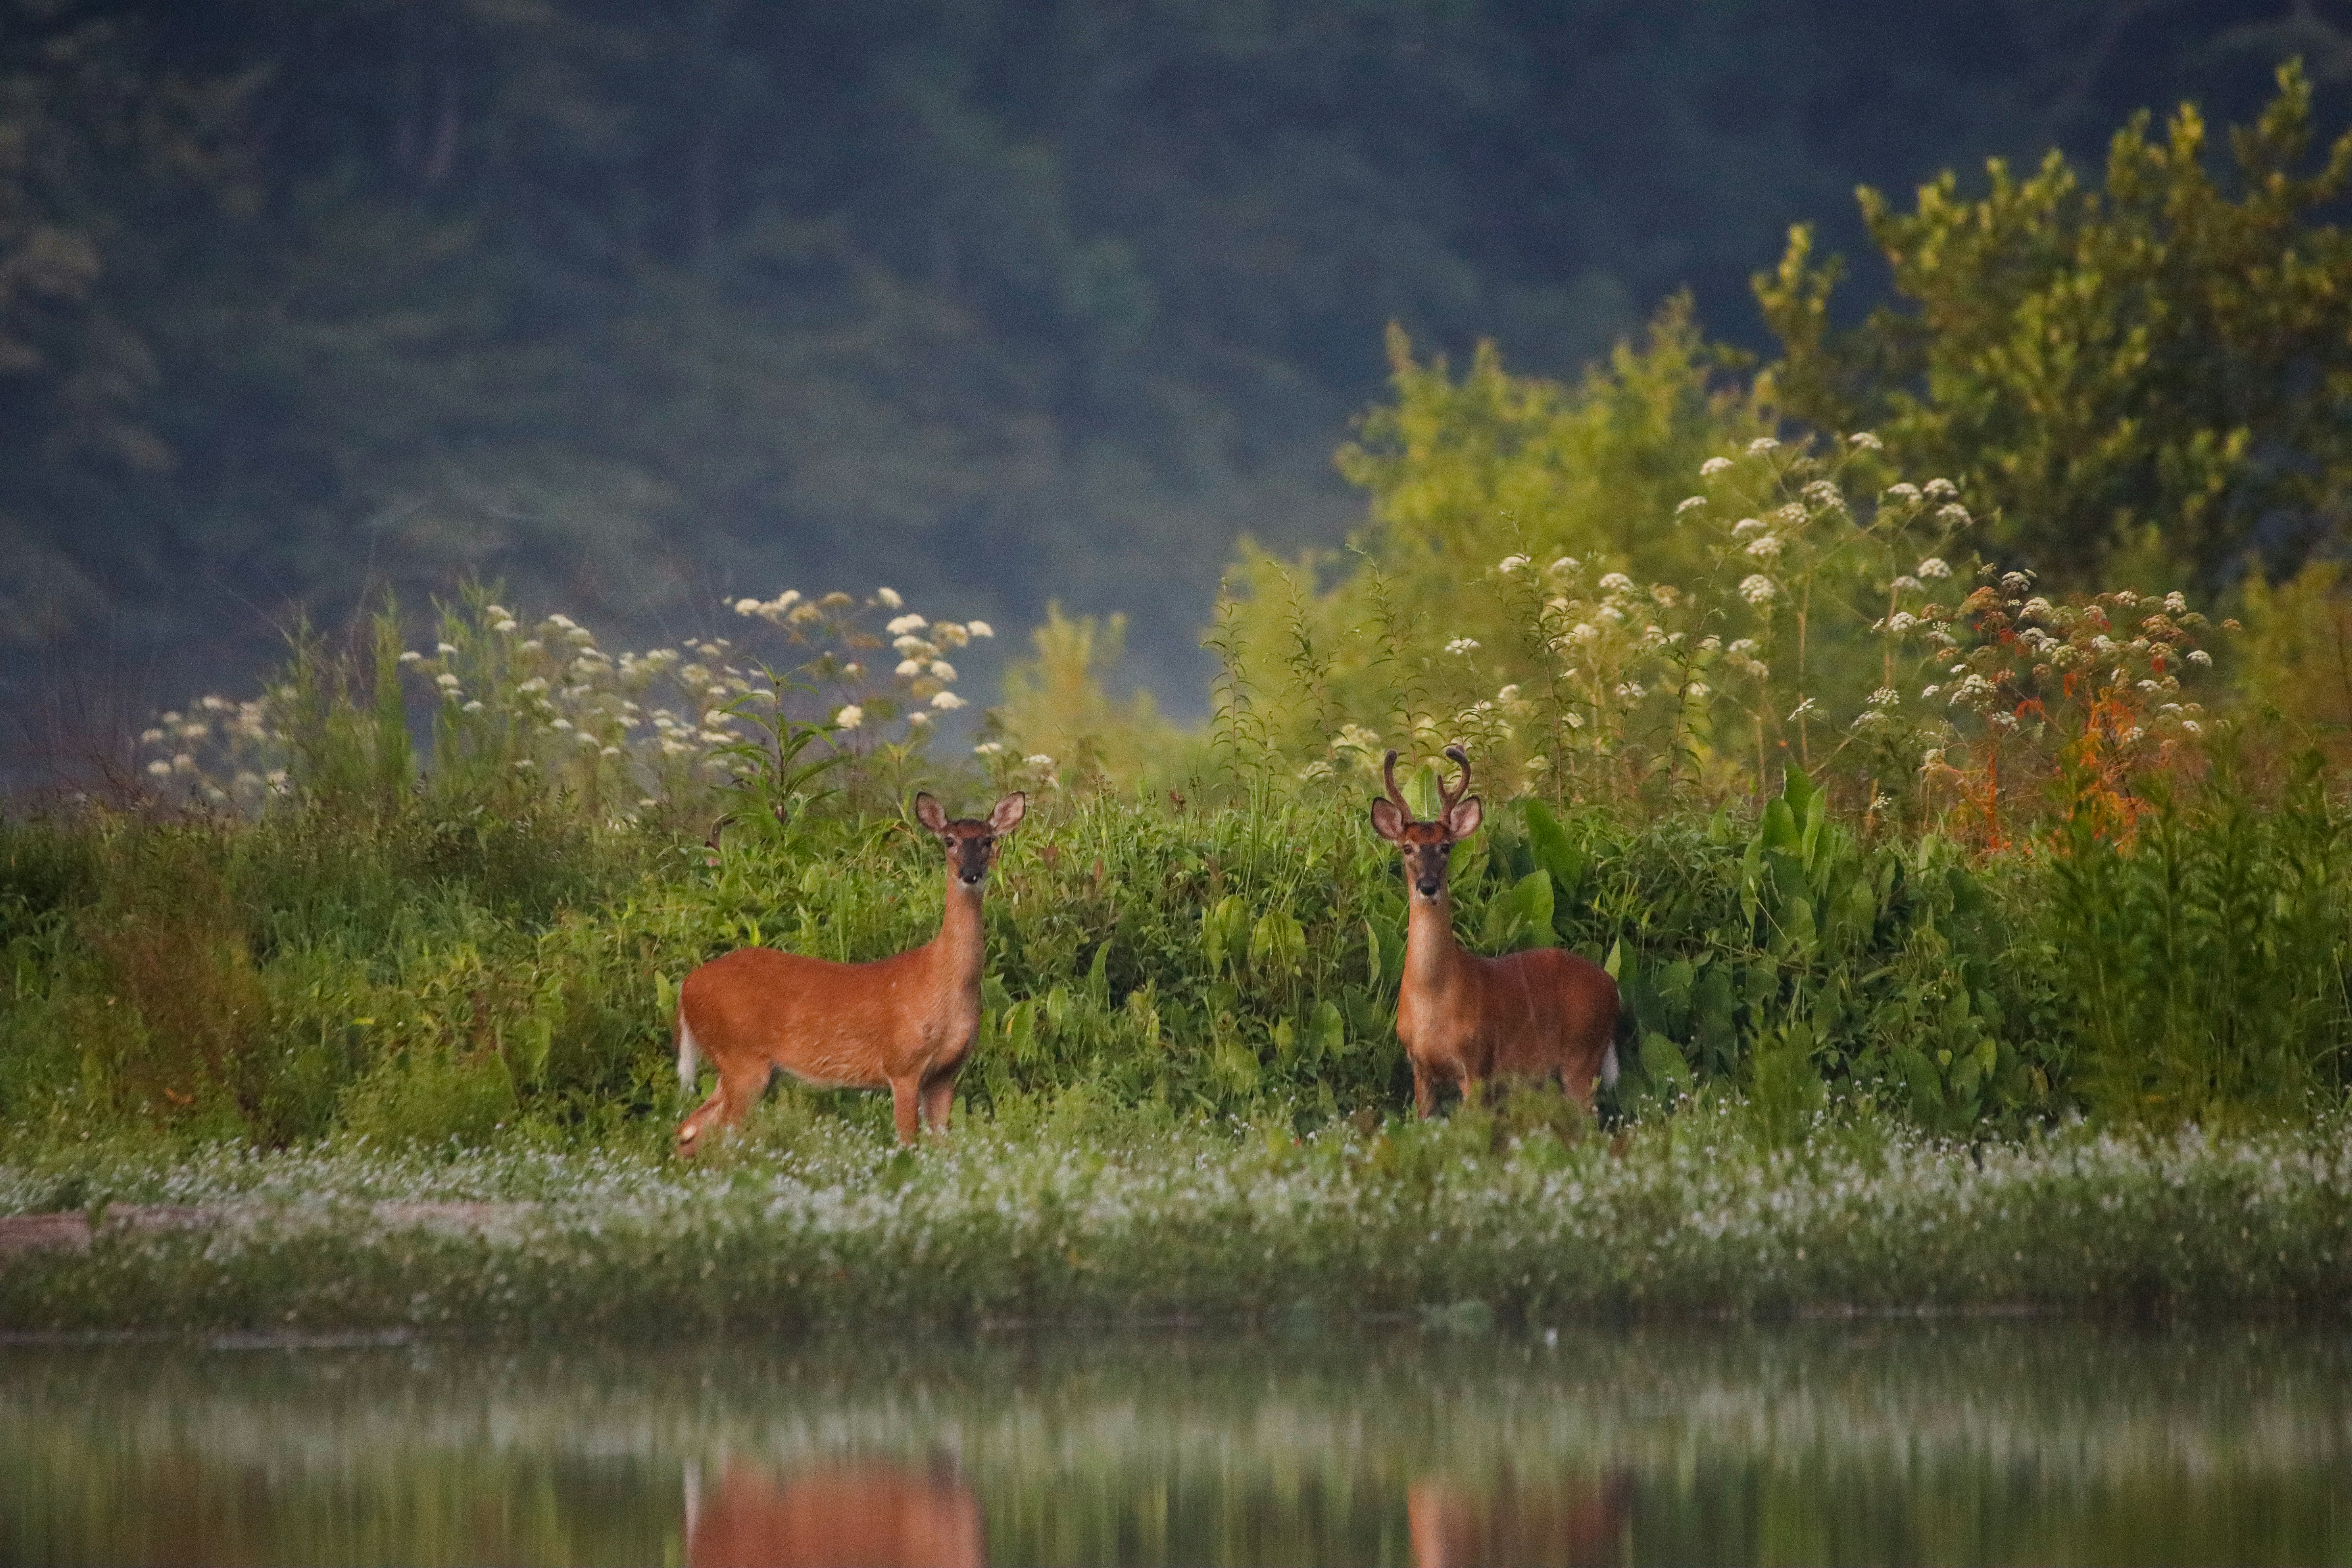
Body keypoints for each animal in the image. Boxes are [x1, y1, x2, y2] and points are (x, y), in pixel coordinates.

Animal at [672, 790, 1025, 1153]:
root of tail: (686, 988)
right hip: (740, 1058)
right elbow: (907, 1144)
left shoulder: (946, 1073)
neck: (942, 980)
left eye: (988, 840)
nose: (970, 874)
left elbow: (942, 1147)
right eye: (950, 840)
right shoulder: (902, 1065)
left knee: (689, 1129)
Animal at [1371, 747, 1619, 1116]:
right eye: (1407, 847)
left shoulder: (1478, 1062)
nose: (1428, 886)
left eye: (1446, 846)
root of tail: (1613, 987)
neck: (1434, 999)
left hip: (1583, 1055)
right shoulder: (1420, 1067)